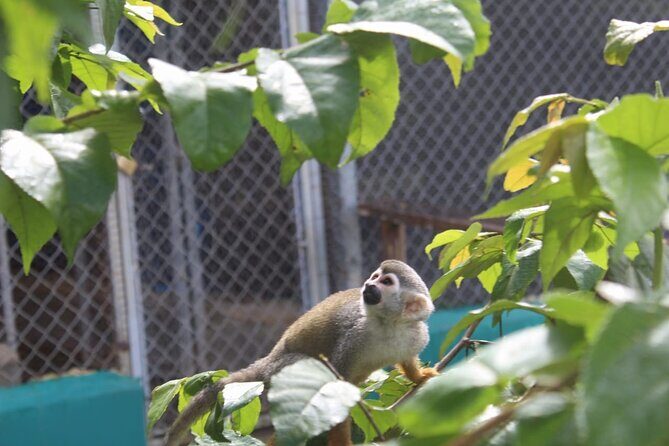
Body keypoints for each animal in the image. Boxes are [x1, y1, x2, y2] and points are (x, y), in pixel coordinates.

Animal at [164, 260, 438, 446]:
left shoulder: (417, 335)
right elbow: (336, 384)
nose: (368, 284)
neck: (388, 324)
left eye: (386, 282)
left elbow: (407, 359)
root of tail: (270, 360)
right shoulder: (354, 336)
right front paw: (341, 441)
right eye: (375, 276)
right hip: (285, 367)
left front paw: (418, 376)